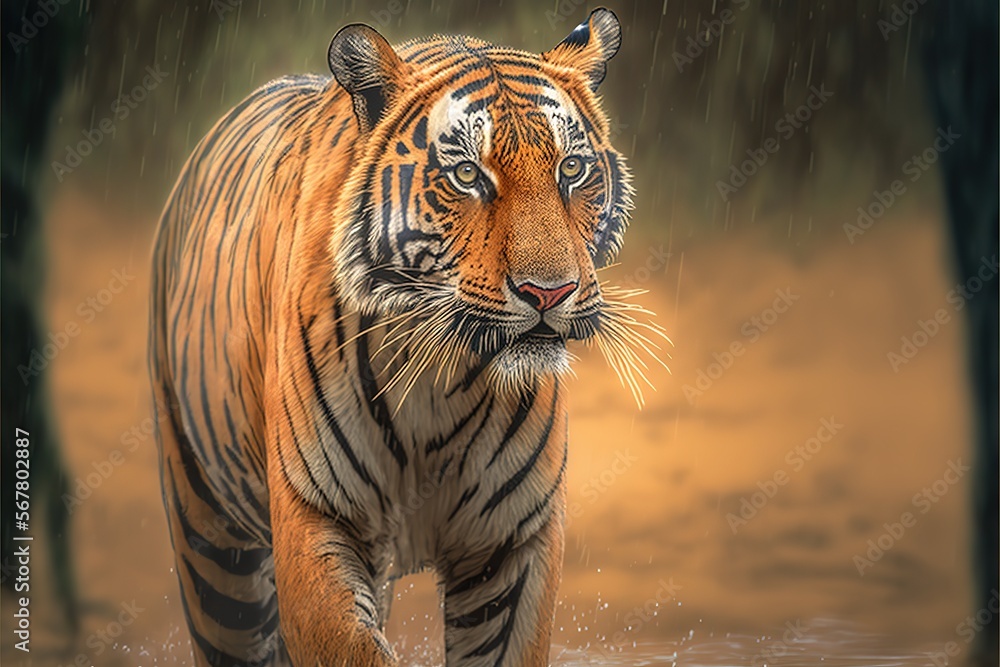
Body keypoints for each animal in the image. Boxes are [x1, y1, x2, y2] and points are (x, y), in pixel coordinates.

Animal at [148, 8, 665, 666]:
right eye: (468, 175)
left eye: (570, 169)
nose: (549, 293)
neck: (442, 379)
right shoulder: (315, 517)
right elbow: (353, 646)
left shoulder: (513, 541)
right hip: (211, 541)